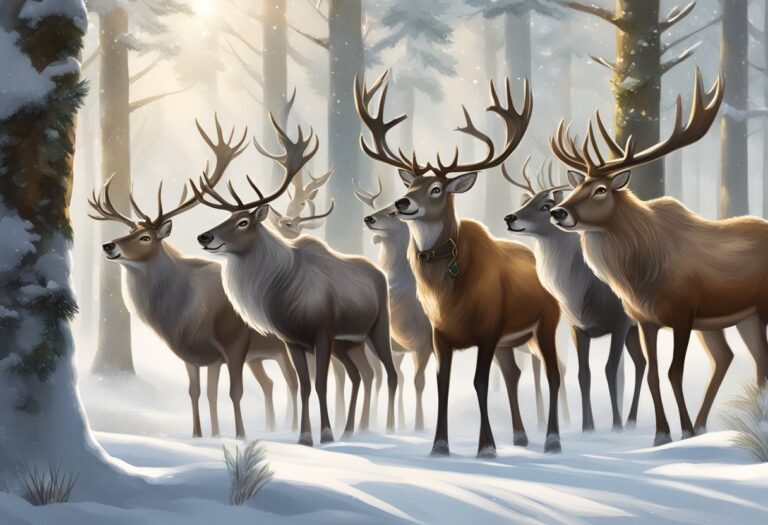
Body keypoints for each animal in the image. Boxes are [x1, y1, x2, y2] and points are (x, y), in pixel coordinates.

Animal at [88, 116, 298, 438]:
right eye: (130, 231)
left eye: (146, 237)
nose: (109, 245)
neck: (181, 316)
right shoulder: (196, 356)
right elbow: (199, 393)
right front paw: (203, 434)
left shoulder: (235, 342)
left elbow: (234, 392)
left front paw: (239, 435)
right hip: (261, 354)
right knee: (271, 383)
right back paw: (274, 426)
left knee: (294, 381)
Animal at [192, 114, 399, 446]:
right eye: (227, 217)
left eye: (243, 221)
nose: (204, 236)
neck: (280, 292)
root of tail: (377, 270)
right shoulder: (292, 341)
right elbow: (305, 386)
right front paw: (304, 437)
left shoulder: (323, 332)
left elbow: (321, 384)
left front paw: (325, 433)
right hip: (348, 343)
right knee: (360, 374)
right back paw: (351, 429)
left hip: (377, 328)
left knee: (389, 374)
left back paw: (389, 429)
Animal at [356, 71, 563, 457]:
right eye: (413, 183)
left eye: (437, 188)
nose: (402, 202)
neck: (448, 296)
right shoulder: (440, 334)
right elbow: (443, 382)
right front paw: (439, 445)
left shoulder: (488, 328)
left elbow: (479, 382)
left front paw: (486, 447)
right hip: (509, 340)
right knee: (513, 374)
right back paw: (520, 436)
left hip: (546, 322)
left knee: (553, 373)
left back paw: (552, 440)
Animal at [503, 157, 646, 431]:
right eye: (528, 200)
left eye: (546, 206)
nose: (509, 217)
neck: (582, 295)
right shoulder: (577, 328)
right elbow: (584, 374)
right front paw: (587, 427)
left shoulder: (620, 322)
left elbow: (611, 369)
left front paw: (615, 425)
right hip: (634, 330)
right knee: (642, 362)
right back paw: (632, 419)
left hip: (637, 324)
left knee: (641, 363)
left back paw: (630, 421)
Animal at [547, 69, 768, 445]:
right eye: (577, 186)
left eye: (601, 189)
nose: (558, 212)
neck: (639, 274)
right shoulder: (644, 319)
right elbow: (651, 373)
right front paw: (663, 434)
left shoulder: (683, 312)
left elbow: (674, 371)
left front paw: (684, 431)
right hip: (736, 318)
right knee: (734, 359)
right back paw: (708, 424)